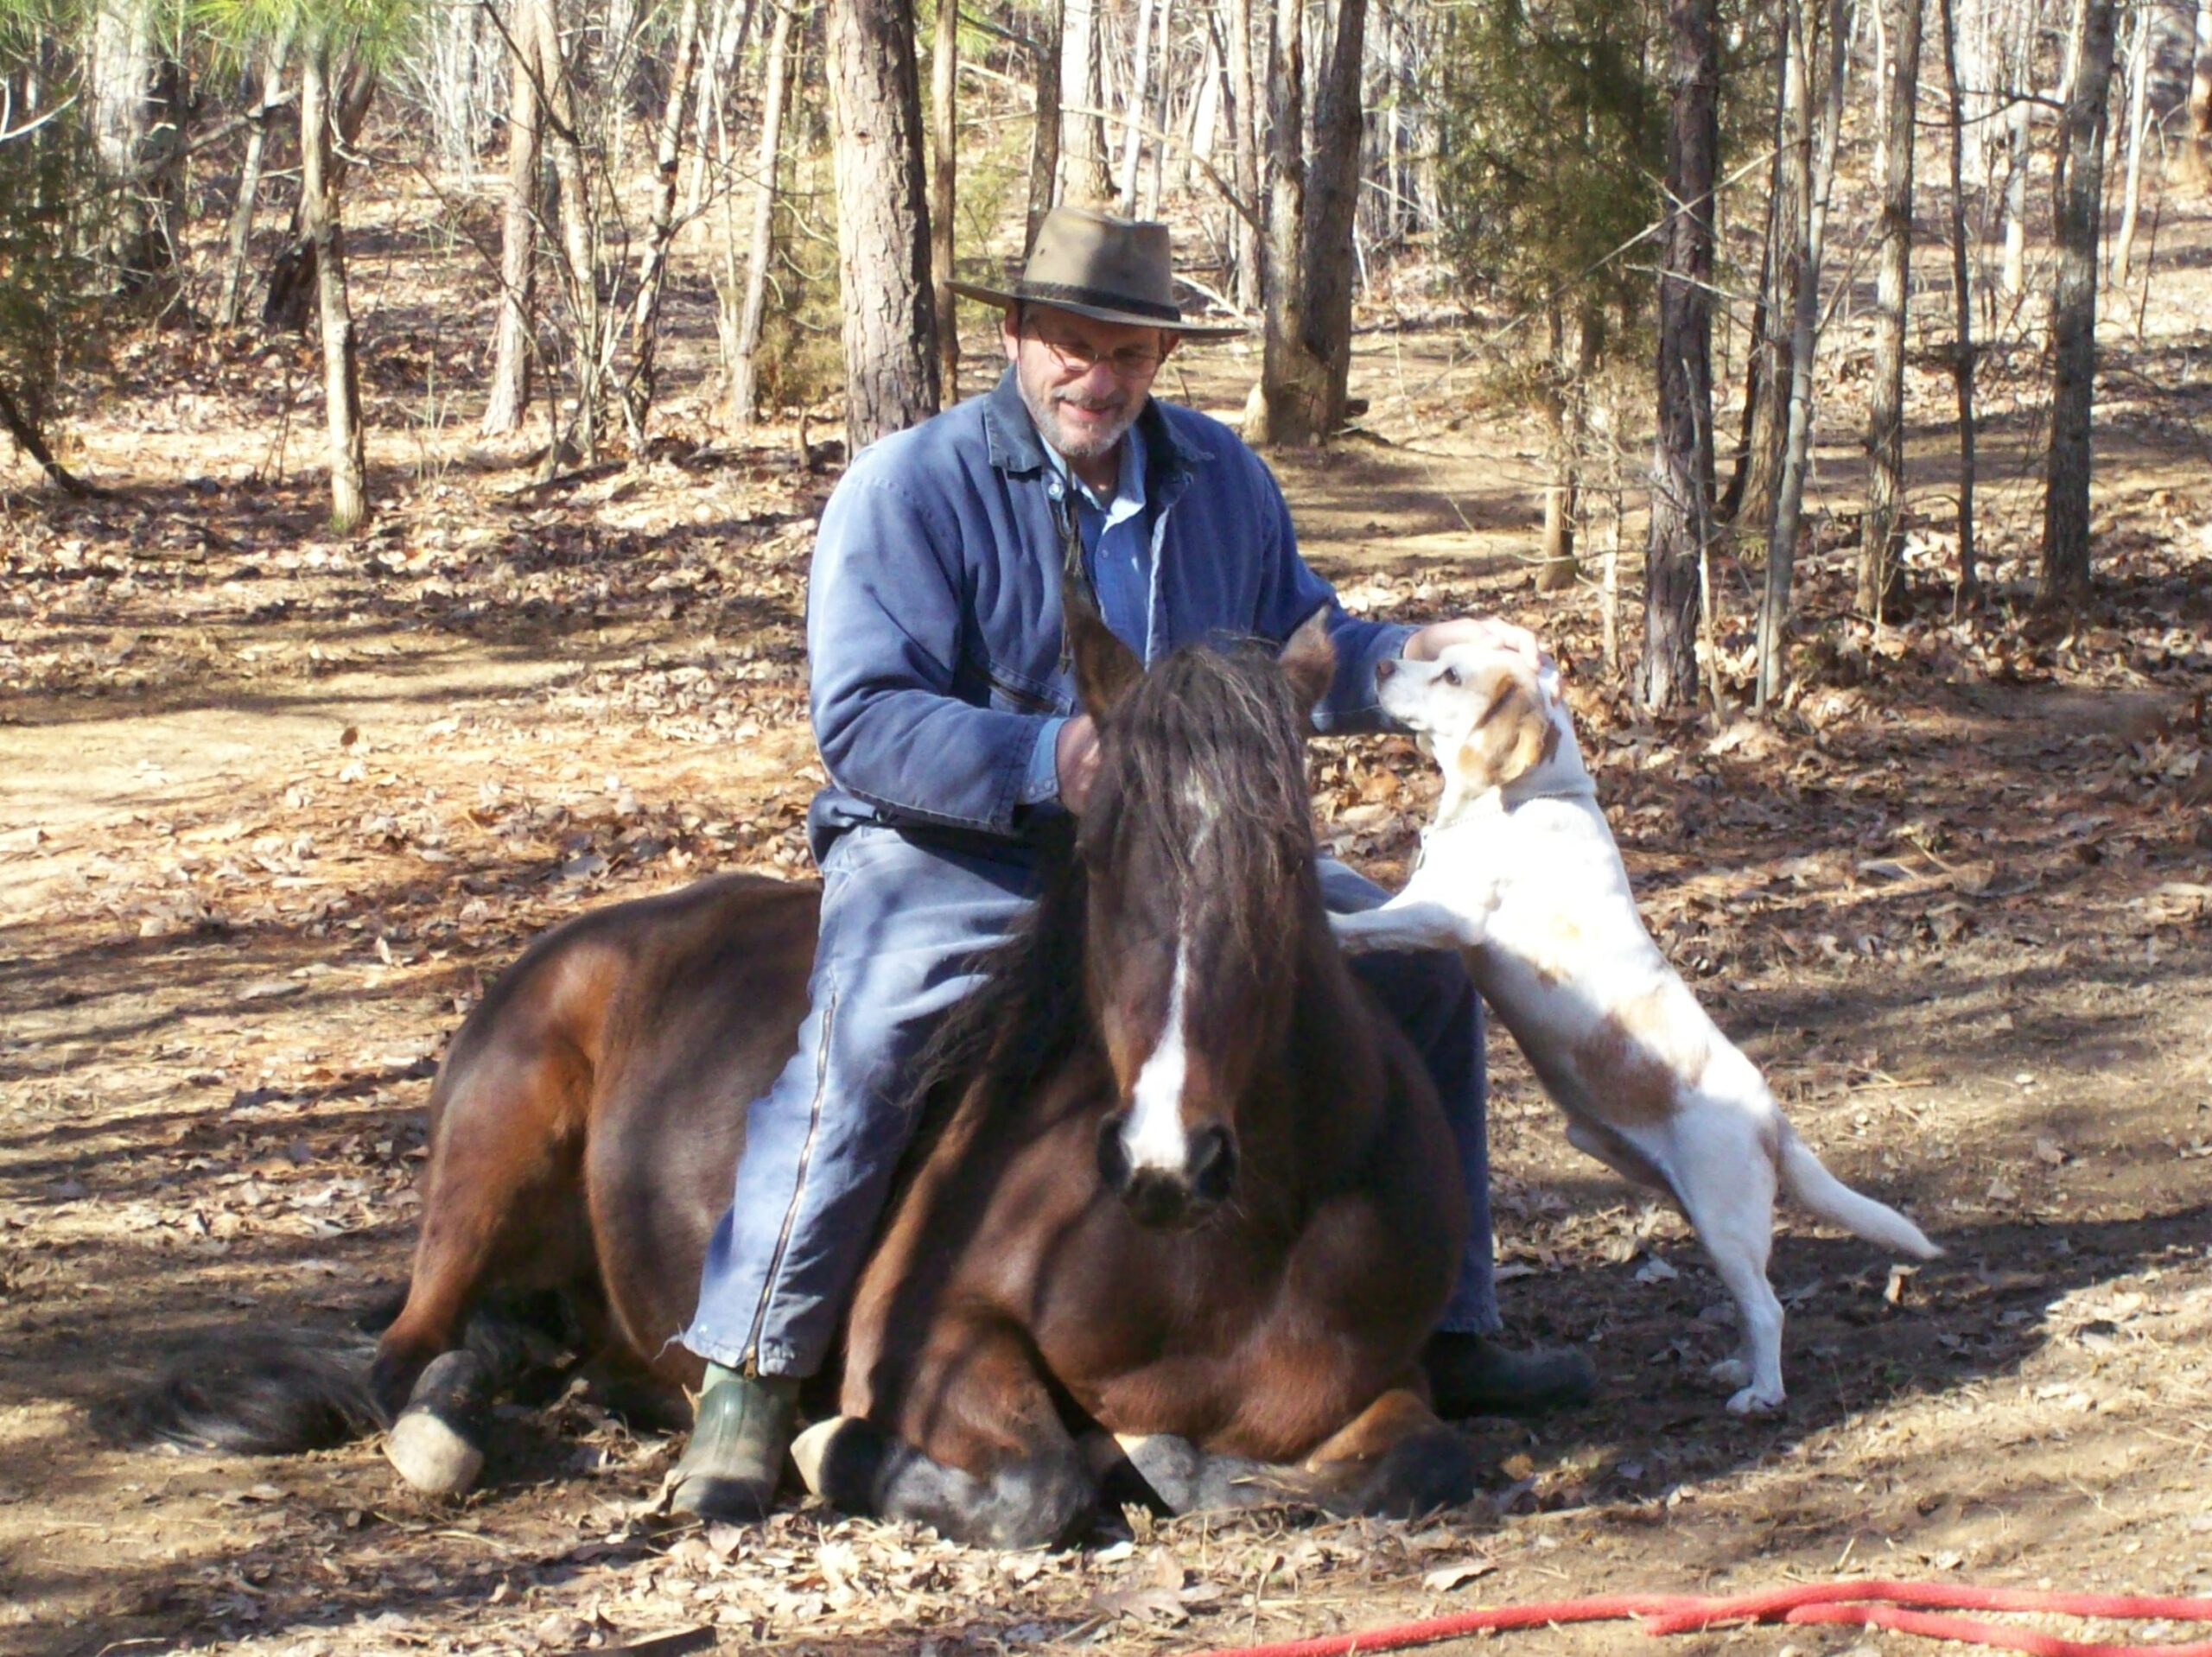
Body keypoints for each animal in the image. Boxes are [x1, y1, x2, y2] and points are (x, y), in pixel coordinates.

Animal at [118, 601, 1476, 1547]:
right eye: (1100, 853)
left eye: (1287, 857)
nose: (1163, 1160)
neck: (1224, 1248)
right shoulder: (923, 1338)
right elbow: (1037, 1487)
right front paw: (829, 1449)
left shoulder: (1379, 1385)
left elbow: (1414, 1462)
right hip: (489, 1163)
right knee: (409, 1356)